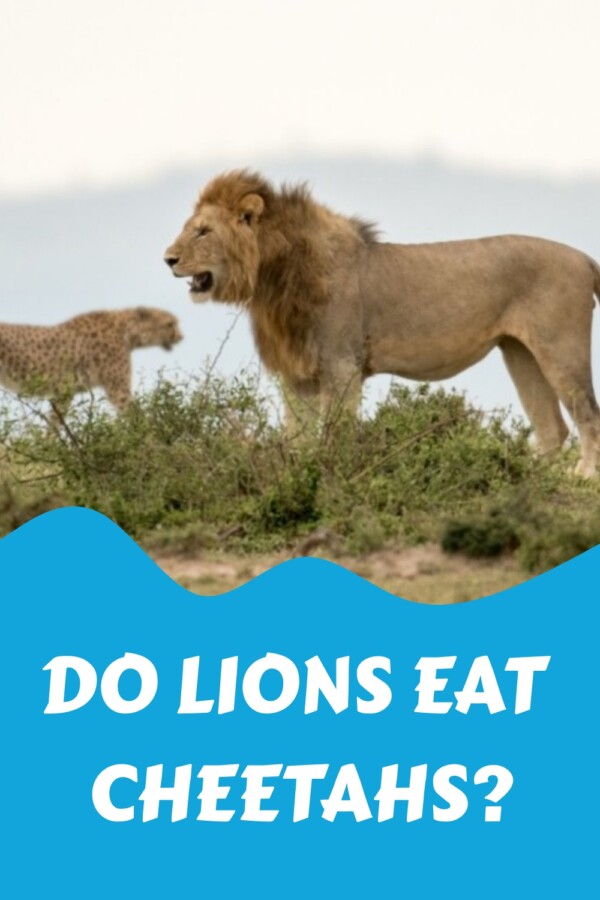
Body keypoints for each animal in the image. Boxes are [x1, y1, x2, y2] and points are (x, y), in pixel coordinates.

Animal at [0, 307, 183, 418]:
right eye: (170, 324)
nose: (181, 337)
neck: (127, 332)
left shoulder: (64, 392)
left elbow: (55, 422)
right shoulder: (118, 389)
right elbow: (135, 415)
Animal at [165, 169, 600, 476]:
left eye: (203, 232)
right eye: (191, 228)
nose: (168, 258)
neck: (273, 278)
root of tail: (584, 258)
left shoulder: (341, 365)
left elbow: (336, 434)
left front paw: (330, 477)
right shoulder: (297, 375)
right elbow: (297, 436)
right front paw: (296, 474)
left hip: (561, 349)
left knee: (588, 415)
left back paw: (582, 477)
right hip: (519, 352)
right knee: (552, 429)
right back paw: (524, 478)